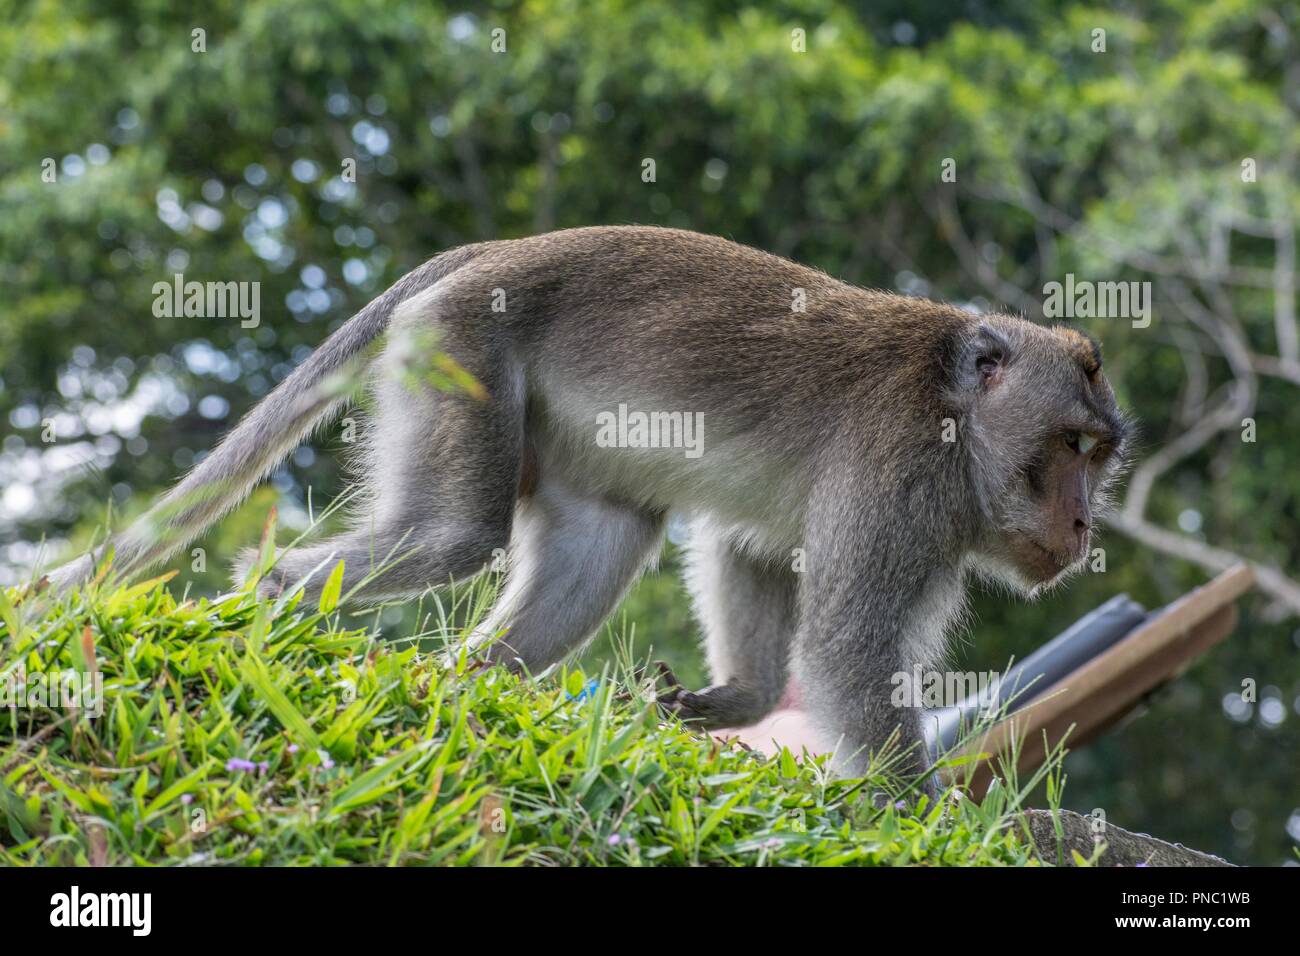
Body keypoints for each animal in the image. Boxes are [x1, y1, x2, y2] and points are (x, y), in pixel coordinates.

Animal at [49, 226, 1131, 787]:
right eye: (1069, 448)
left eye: (1100, 456)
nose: (1083, 523)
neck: (956, 414)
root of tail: (494, 250)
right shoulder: (903, 476)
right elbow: (846, 652)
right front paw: (927, 816)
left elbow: (748, 547)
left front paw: (733, 700)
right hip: (464, 350)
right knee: (453, 536)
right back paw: (272, 604)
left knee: (598, 540)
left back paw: (469, 682)